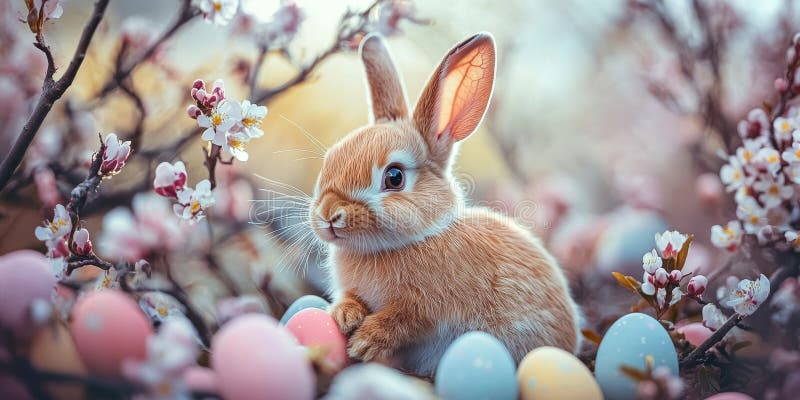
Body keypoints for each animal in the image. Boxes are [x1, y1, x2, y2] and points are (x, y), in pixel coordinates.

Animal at [309, 31, 581, 375]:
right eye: (329, 160)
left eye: (394, 177)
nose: (329, 214)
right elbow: (351, 299)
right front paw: (344, 316)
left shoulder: (425, 309)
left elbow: (401, 321)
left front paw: (365, 342)